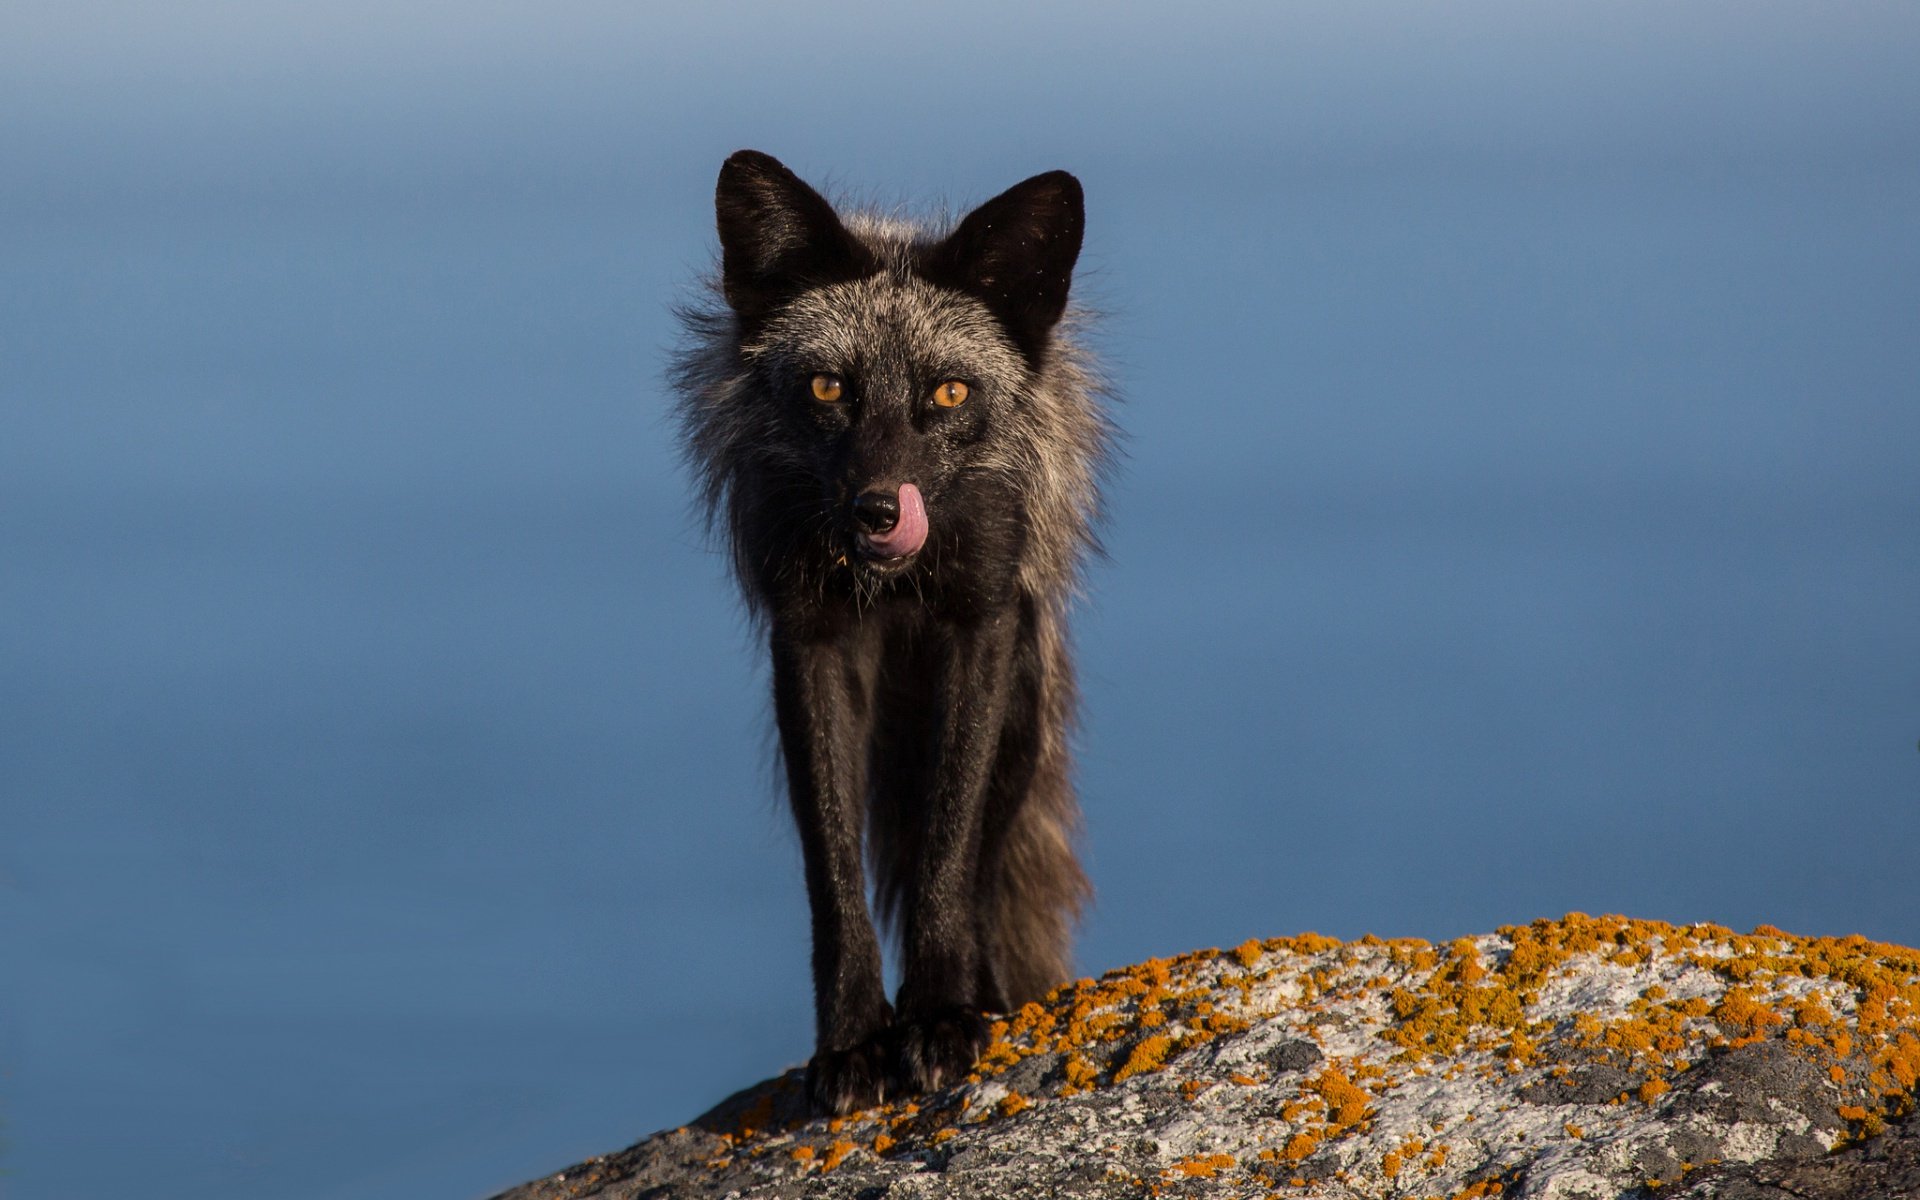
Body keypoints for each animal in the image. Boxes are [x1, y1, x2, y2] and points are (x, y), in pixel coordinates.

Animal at [671, 150, 1114, 1115]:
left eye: (948, 392)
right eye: (828, 387)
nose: (877, 511)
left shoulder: (978, 626)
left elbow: (948, 849)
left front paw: (942, 1017)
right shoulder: (810, 644)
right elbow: (832, 874)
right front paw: (851, 1044)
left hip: (1023, 709)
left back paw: (985, 993)